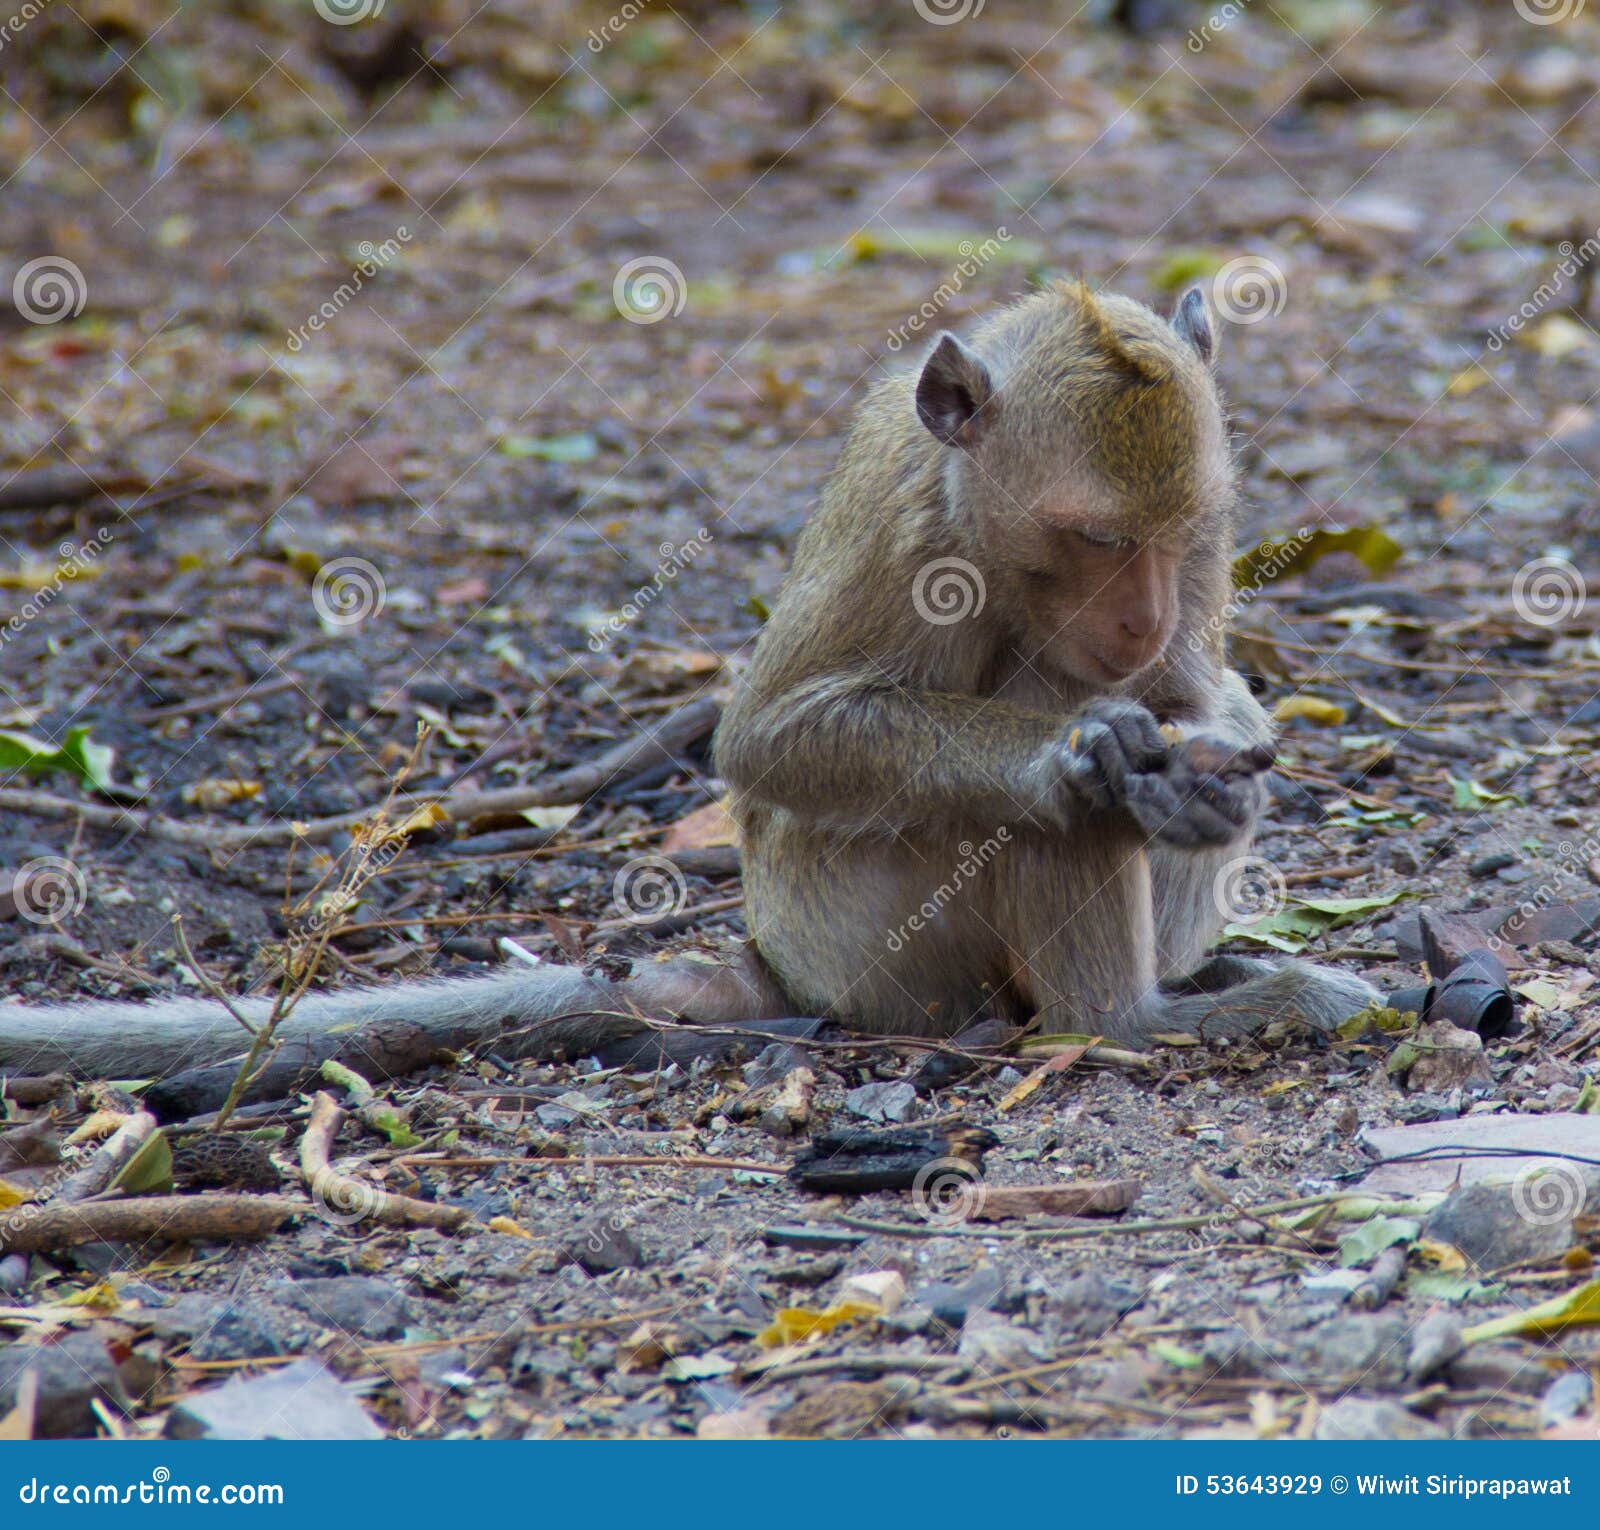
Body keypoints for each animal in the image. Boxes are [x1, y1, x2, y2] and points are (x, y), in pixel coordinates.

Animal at [0, 281, 1376, 1083]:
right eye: (1092, 540)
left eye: (1175, 535)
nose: (1139, 615)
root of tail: (780, 965)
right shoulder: (906, 535)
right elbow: (770, 739)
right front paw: (1077, 753)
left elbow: (1195, 698)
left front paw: (1216, 752)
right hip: (875, 952)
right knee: (1046, 790)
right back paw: (1132, 1015)